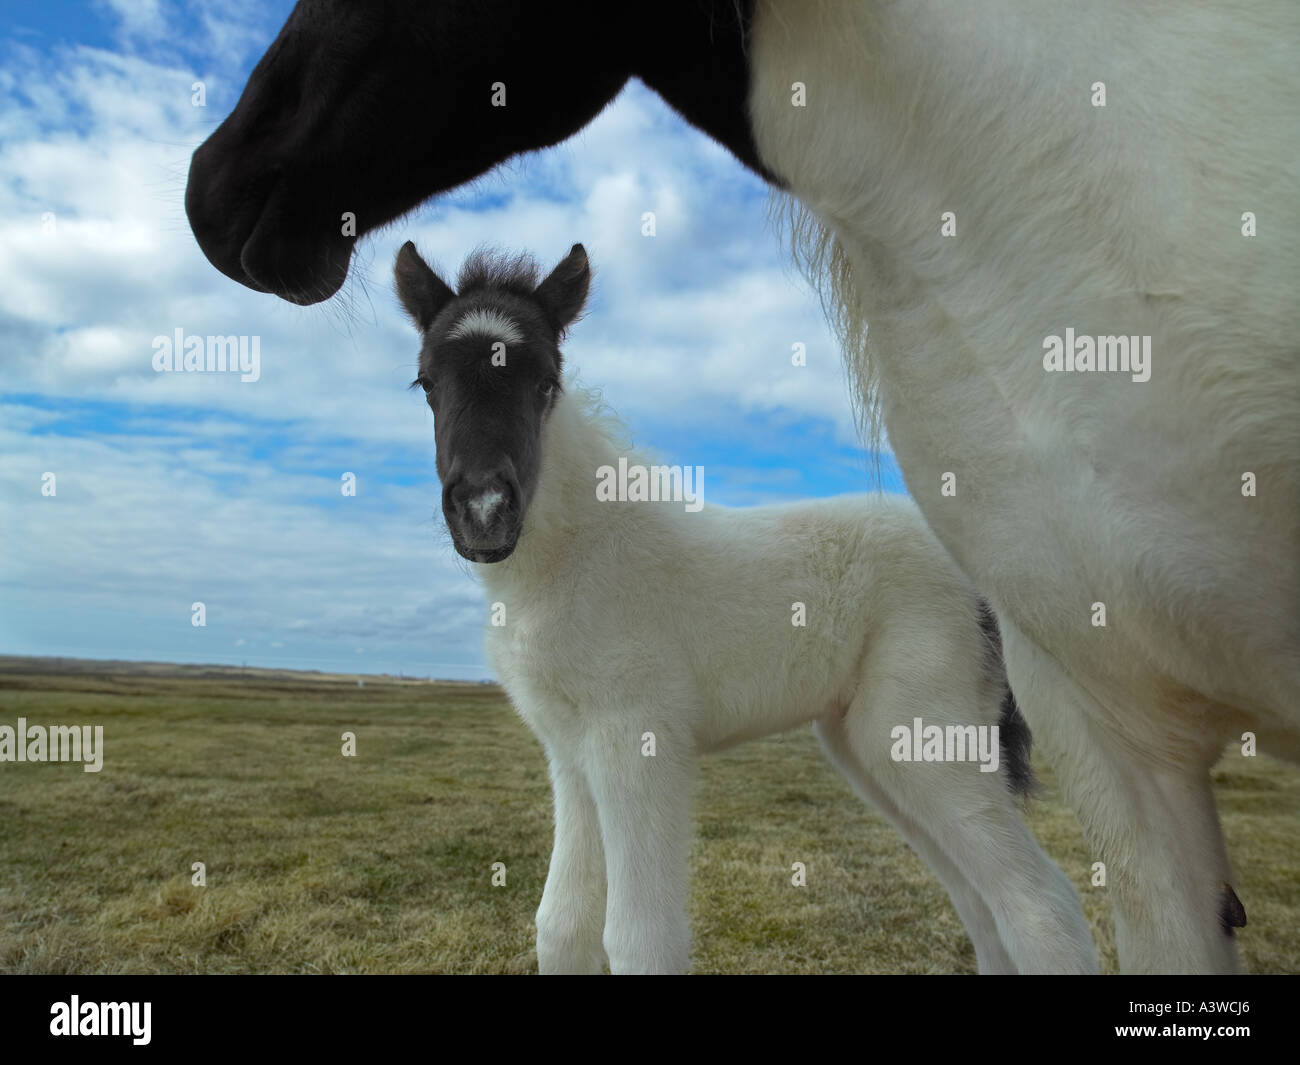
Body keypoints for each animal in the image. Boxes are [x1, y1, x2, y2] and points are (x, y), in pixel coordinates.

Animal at [393, 238, 1098, 974]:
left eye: (545, 382)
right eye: (426, 382)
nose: (484, 512)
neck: (573, 558)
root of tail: (981, 580)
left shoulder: (639, 738)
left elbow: (640, 936)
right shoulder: (570, 751)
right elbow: (562, 924)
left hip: (924, 729)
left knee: (1038, 901)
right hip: (868, 745)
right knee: (977, 900)